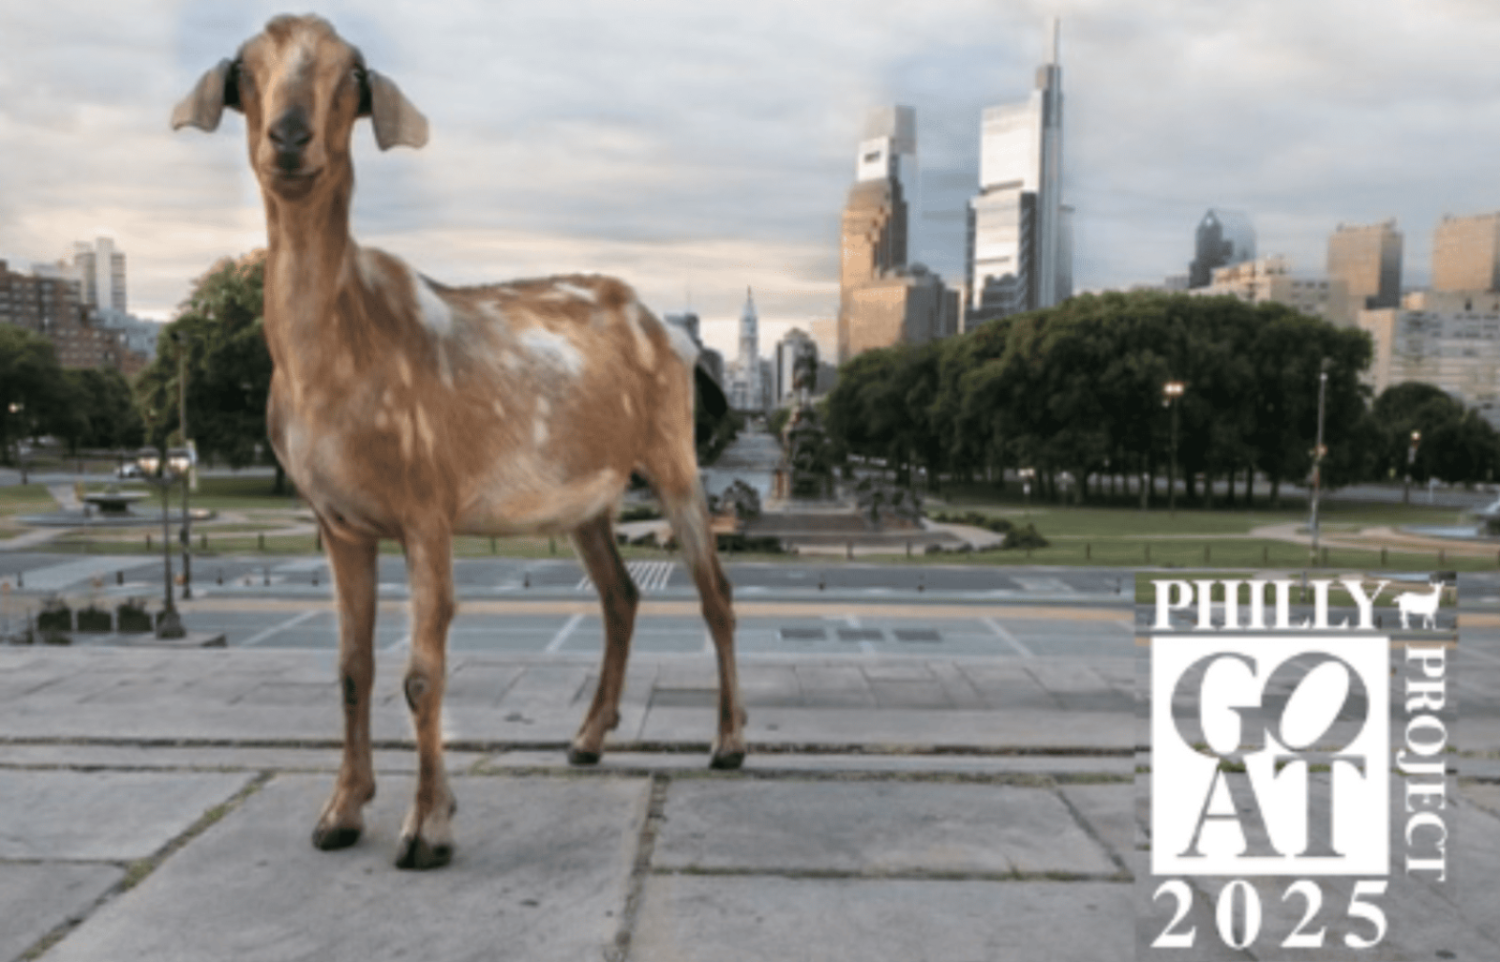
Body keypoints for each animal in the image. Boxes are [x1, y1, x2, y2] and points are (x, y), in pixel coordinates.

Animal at [172, 14, 746, 870]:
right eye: (245, 68)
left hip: (673, 452)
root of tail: (672, 334)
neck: (338, 359)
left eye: (352, 73)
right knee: (620, 595)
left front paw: (427, 830)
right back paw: (584, 740)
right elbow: (351, 668)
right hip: (586, 496)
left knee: (716, 593)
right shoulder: (337, 520)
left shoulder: (427, 504)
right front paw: (340, 814)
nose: (290, 135)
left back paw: (729, 743)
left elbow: (421, 673)